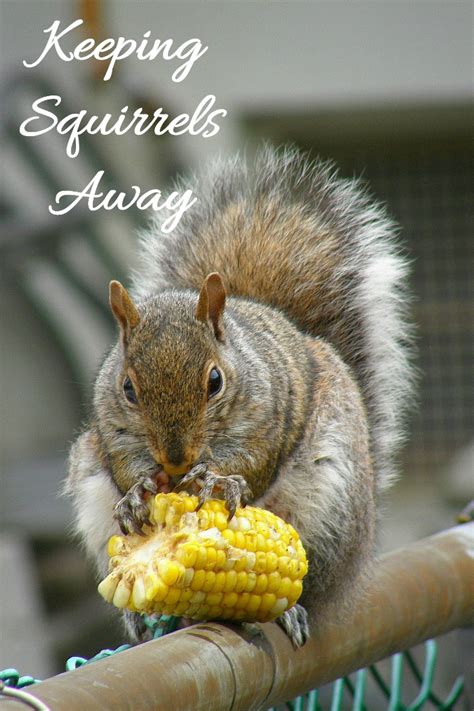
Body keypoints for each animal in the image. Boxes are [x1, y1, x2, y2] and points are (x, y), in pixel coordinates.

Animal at [65, 145, 413, 647]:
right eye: (128, 388)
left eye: (215, 381)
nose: (175, 460)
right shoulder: (110, 428)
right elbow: (122, 460)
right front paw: (137, 492)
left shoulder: (270, 416)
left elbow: (253, 461)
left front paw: (217, 480)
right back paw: (142, 618)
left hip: (330, 511)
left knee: (310, 586)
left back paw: (293, 611)